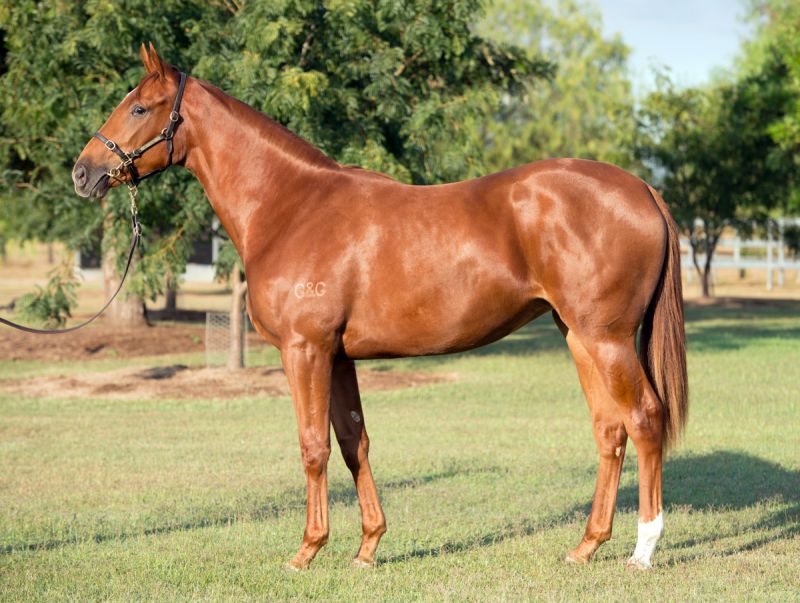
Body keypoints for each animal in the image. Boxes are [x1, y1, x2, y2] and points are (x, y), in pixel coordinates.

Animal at [72, 43, 687, 571]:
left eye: (139, 106)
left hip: (607, 339)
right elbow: (353, 442)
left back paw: (644, 548)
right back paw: (586, 546)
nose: (83, 172)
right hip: (578, 336)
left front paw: (307, 551)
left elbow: (313, 446)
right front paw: (367, 548)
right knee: (609, 430)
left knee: (644, 419)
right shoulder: (338, 356)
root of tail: (640, 189)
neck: (292, 206)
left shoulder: (305, 350)